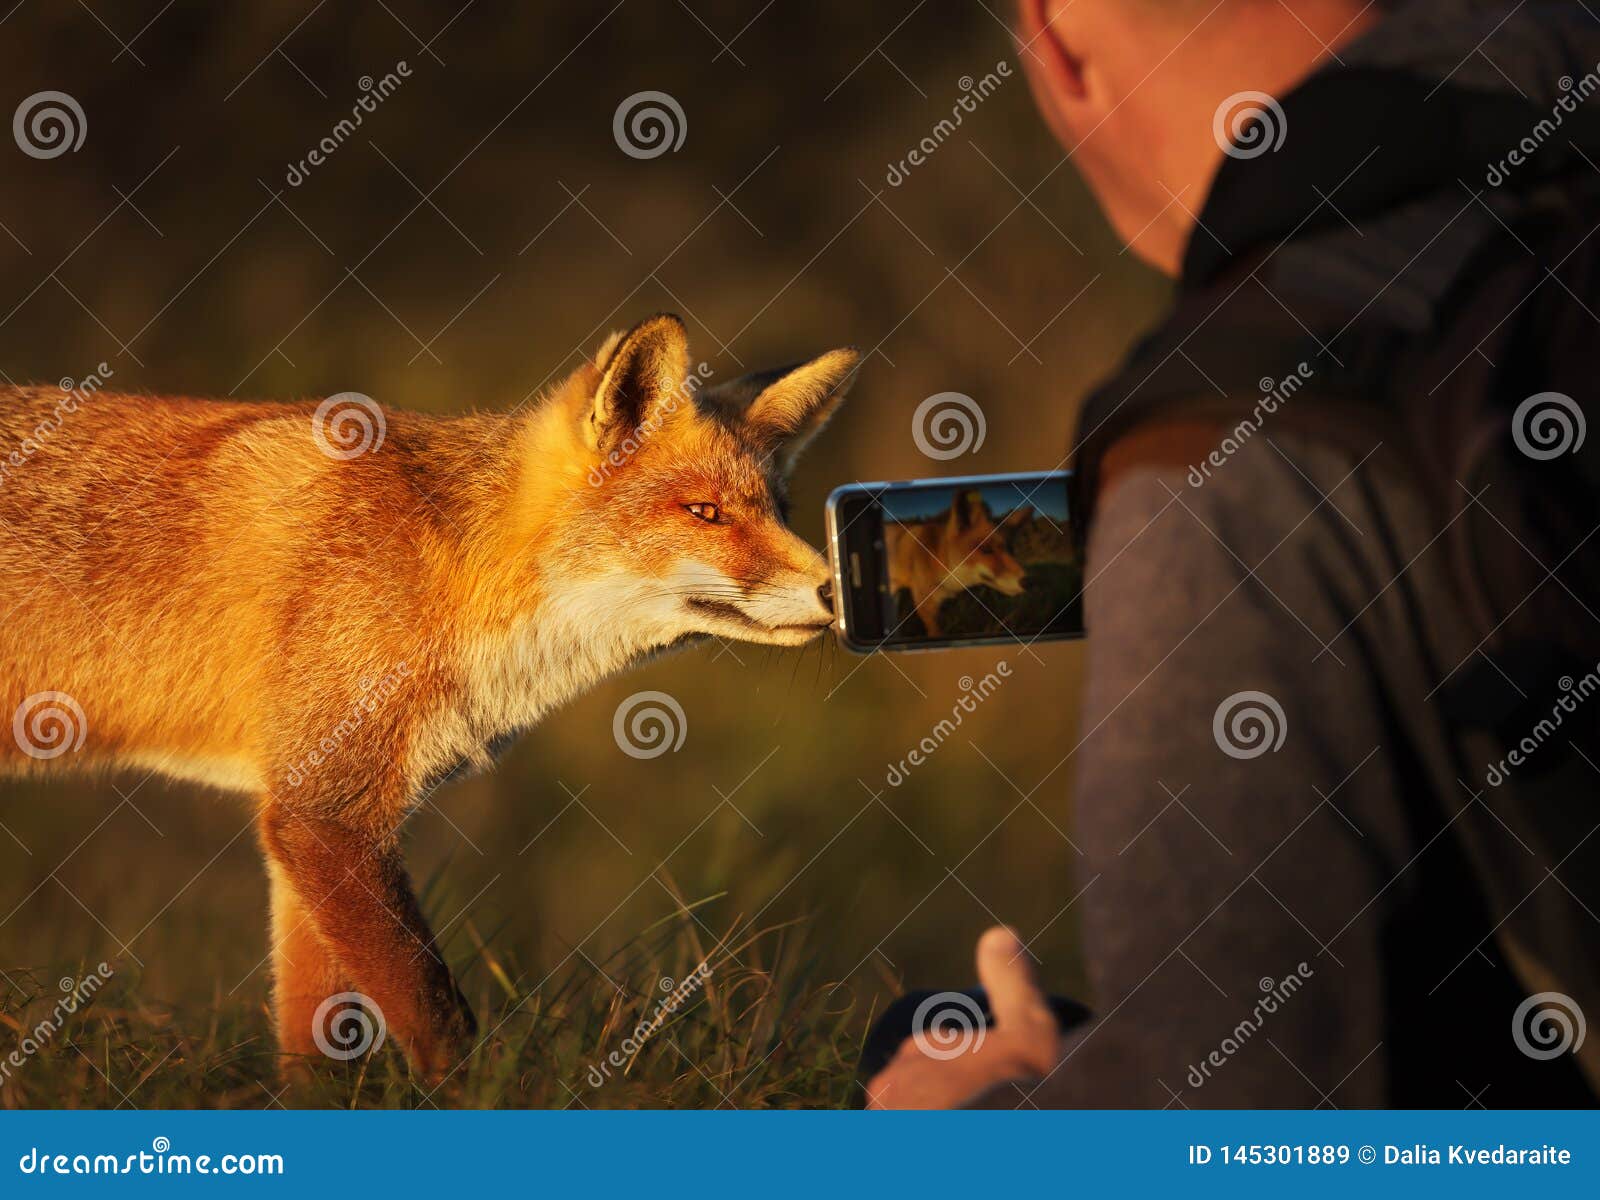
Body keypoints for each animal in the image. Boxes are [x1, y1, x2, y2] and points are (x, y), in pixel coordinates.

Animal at [0, 313, 859, 1082]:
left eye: (779, 511)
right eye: (704, 512)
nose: (834, 588)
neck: (450, 572)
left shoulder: (317, 817)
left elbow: (319, 1044)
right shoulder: (324, 812)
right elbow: (438, 1017)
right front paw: (479, 1099)